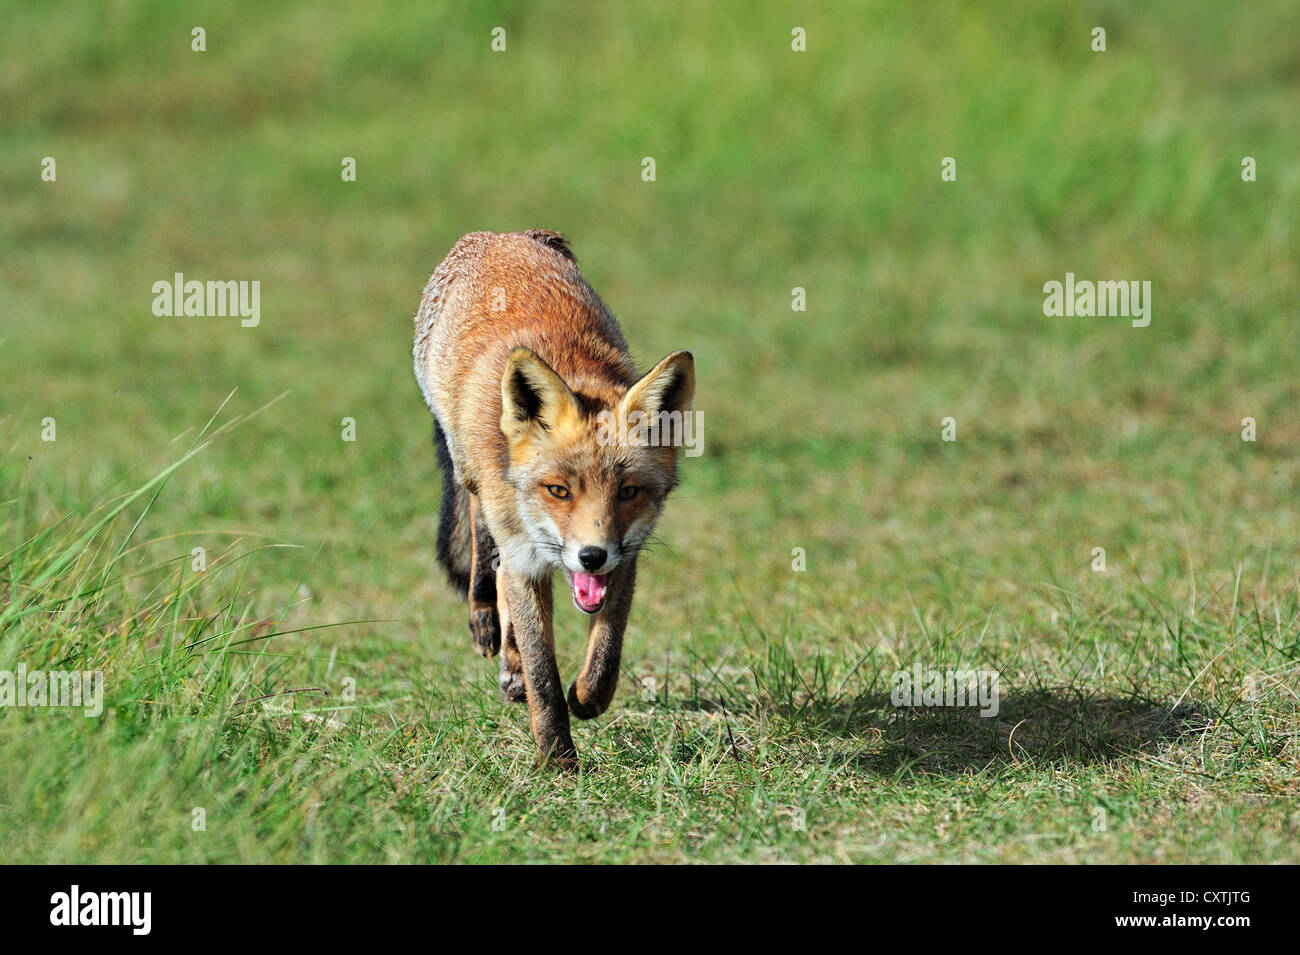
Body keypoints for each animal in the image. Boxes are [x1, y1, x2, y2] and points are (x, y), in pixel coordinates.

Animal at [412, 229, 695, 768]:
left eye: (628, 491)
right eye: (559, 491)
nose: (591, 556)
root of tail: (505, 234)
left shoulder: (626, 558)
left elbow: (606, 653)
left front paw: (585, 697)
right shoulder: (524, 555)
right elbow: (543, 675)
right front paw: (557, 761)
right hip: (469, 472)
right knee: (485, 548)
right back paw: (490, 629)